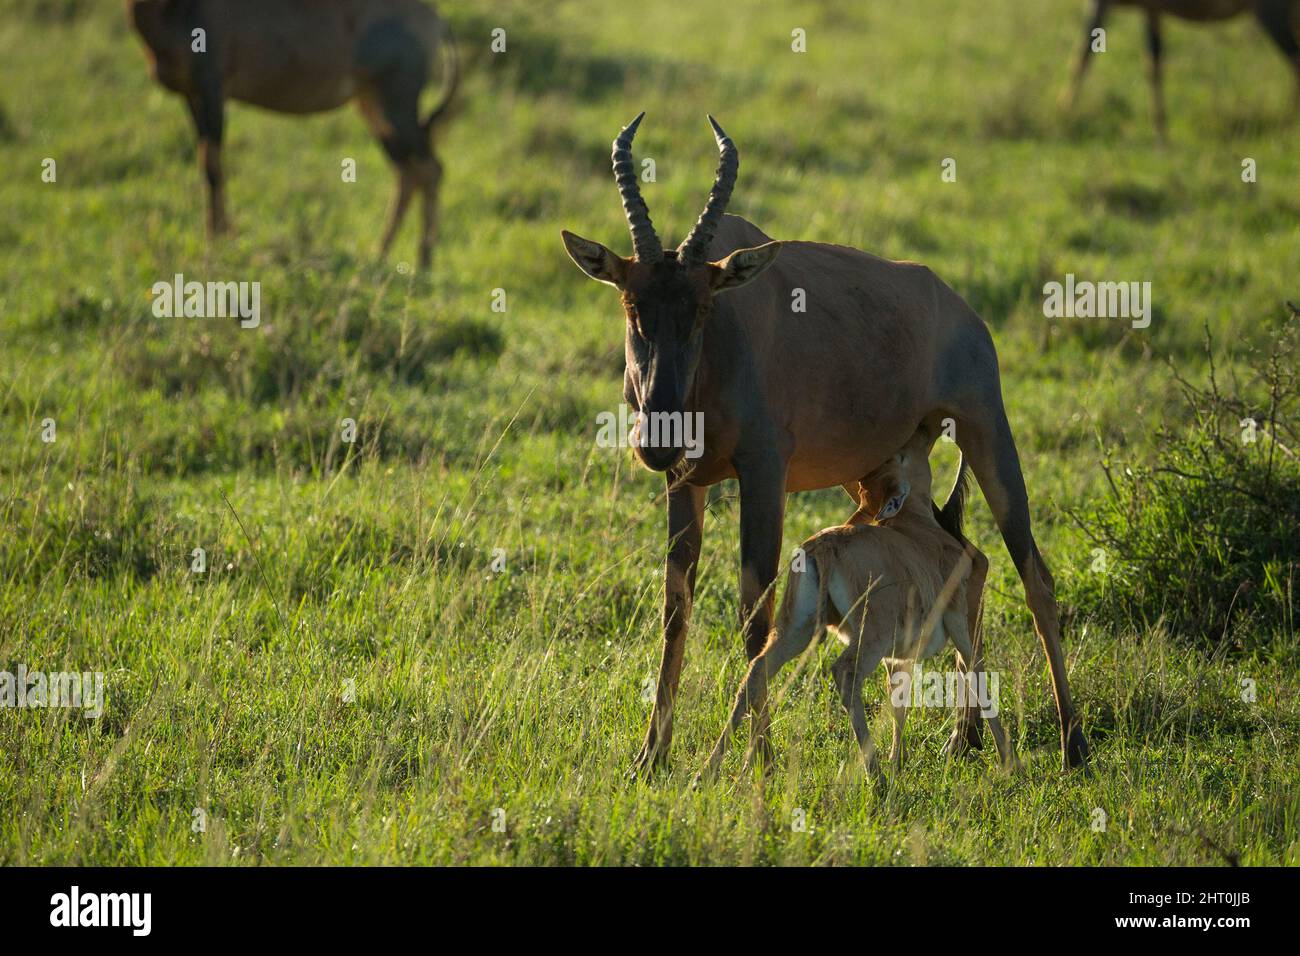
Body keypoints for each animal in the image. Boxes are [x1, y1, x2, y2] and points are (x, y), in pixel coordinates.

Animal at [127, 0, 459, 270]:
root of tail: (435, 19)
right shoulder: (191, 96)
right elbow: (205, 163)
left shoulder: (212, 89)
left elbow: (212, 167)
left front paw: (218, 245)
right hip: (371, 105)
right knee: (408, 171)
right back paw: (382, 255)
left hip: (394, 102)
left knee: (429, 168)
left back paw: (422, 263)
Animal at [701, 428, 1016, 779]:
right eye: (899, 455)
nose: (922, 432)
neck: (916, 531)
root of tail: (823, 547)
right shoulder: (958, 621)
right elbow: (977, 675)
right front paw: (1009, 761)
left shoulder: (897, 656)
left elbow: (899, 700)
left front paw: (898, 761)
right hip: (869, 639)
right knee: (845, 672)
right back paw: (874, 774)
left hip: (796, 631)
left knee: (757, 670)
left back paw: (708, 771)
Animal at [1060, 1, 1300, 137]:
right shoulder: (1151, 11)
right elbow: (1153, 66)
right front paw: (1161, 131)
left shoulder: (1100, 3)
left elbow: (1080, 57)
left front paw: (1064, 113)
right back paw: (1287, 124)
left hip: (1272, 14)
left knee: (1295, 63)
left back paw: (1288, 126)